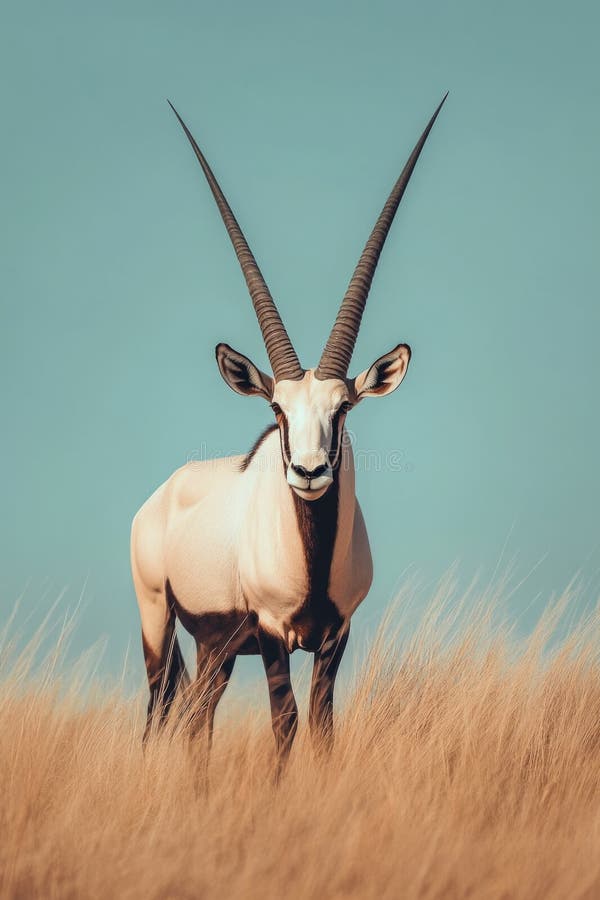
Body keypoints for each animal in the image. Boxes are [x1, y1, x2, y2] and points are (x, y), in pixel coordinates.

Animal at [131, 95, 446, 769]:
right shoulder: (272, 631)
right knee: (158, 715)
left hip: (214, 649)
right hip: (158, 622)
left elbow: (323, 726)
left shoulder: (336, 634)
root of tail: (160, 499)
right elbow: (285, 722)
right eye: (276, 409)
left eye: (344, 407)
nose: (308, 472)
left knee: (197, 720)